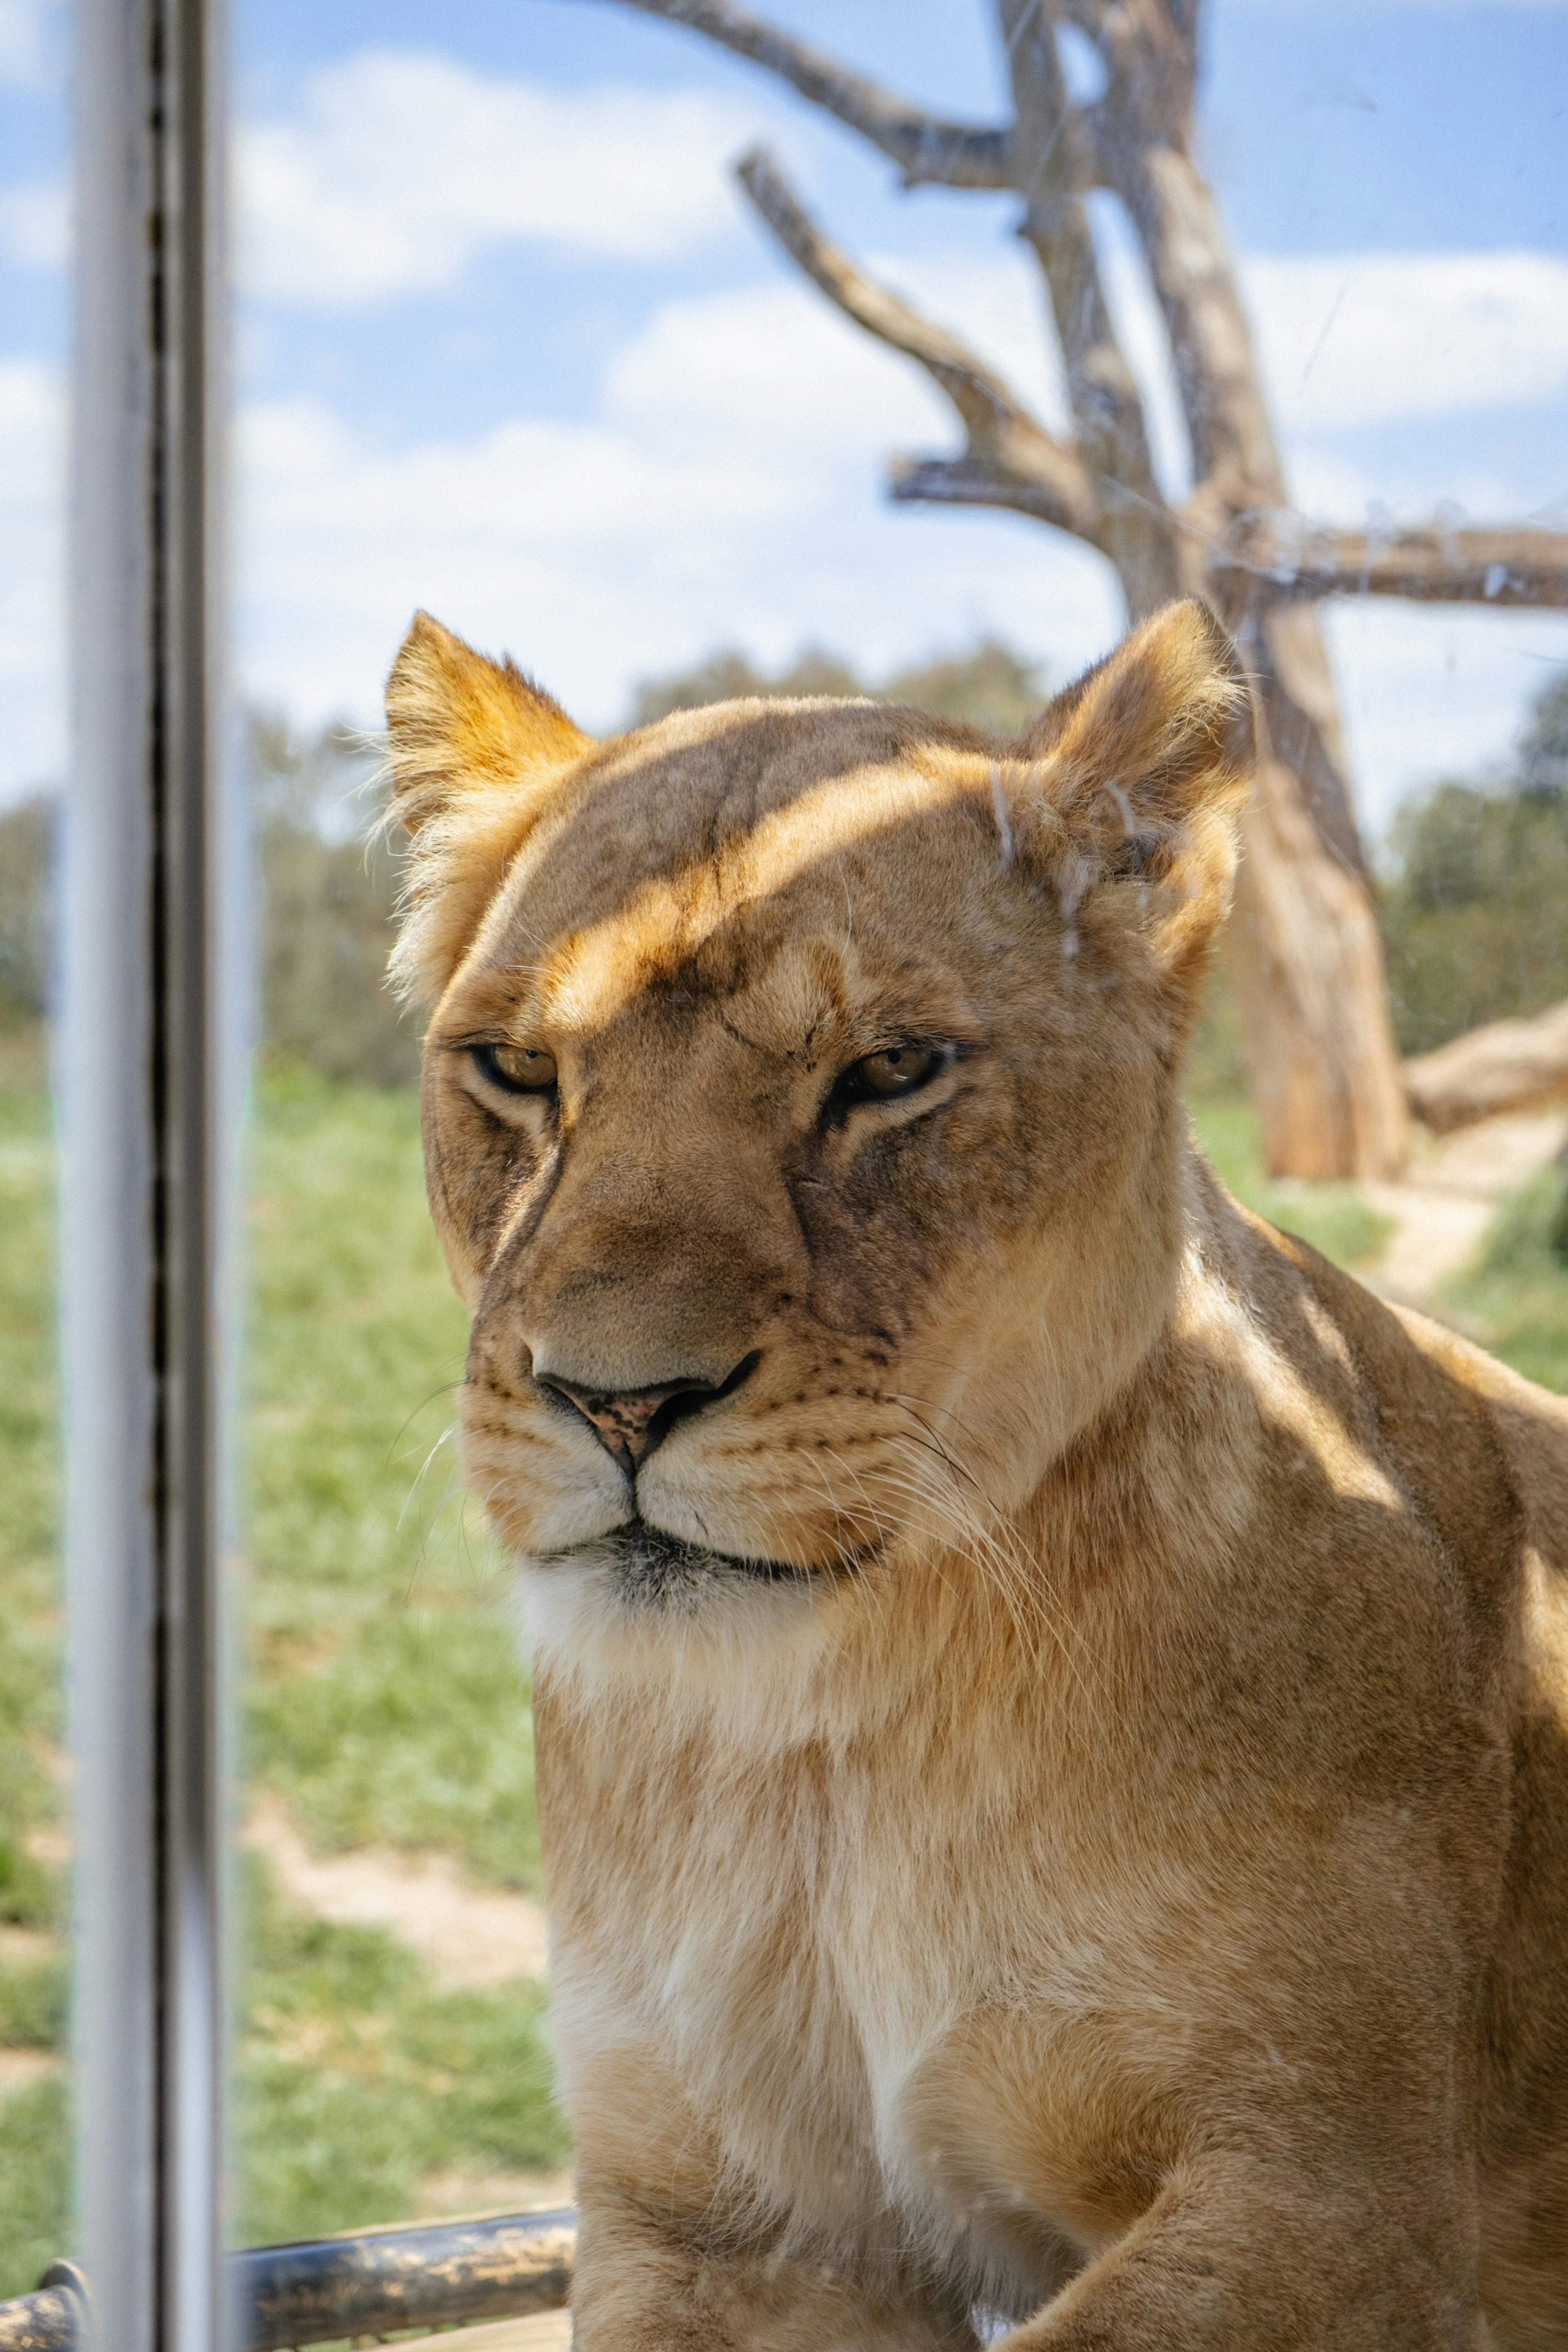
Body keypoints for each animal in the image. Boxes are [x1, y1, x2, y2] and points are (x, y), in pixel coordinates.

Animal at [384, 598, 1568, 2351]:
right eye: (517, 1072)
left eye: (891, 1071)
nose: (615, 1401)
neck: (830, 1744)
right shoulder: (717, 2215)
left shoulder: (1334, 2196)